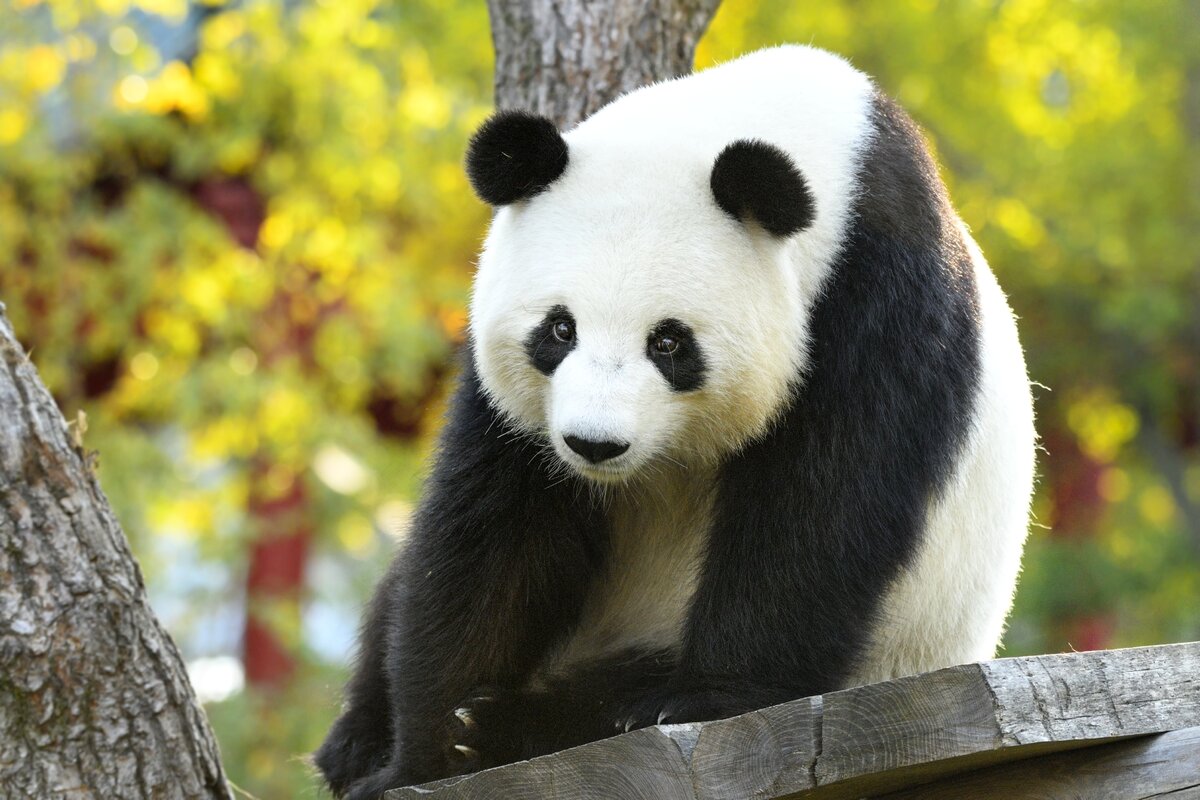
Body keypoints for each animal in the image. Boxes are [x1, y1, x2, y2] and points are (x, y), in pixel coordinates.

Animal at [315, 45, 1036, 799]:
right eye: (559, 330)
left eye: (668, 343)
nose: (594, 444)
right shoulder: (515, 411)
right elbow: (493, 530)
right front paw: (420, 756)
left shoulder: (875, 301)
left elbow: (824, 505)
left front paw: (703, 696)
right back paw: (364, 738)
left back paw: (538, 719)